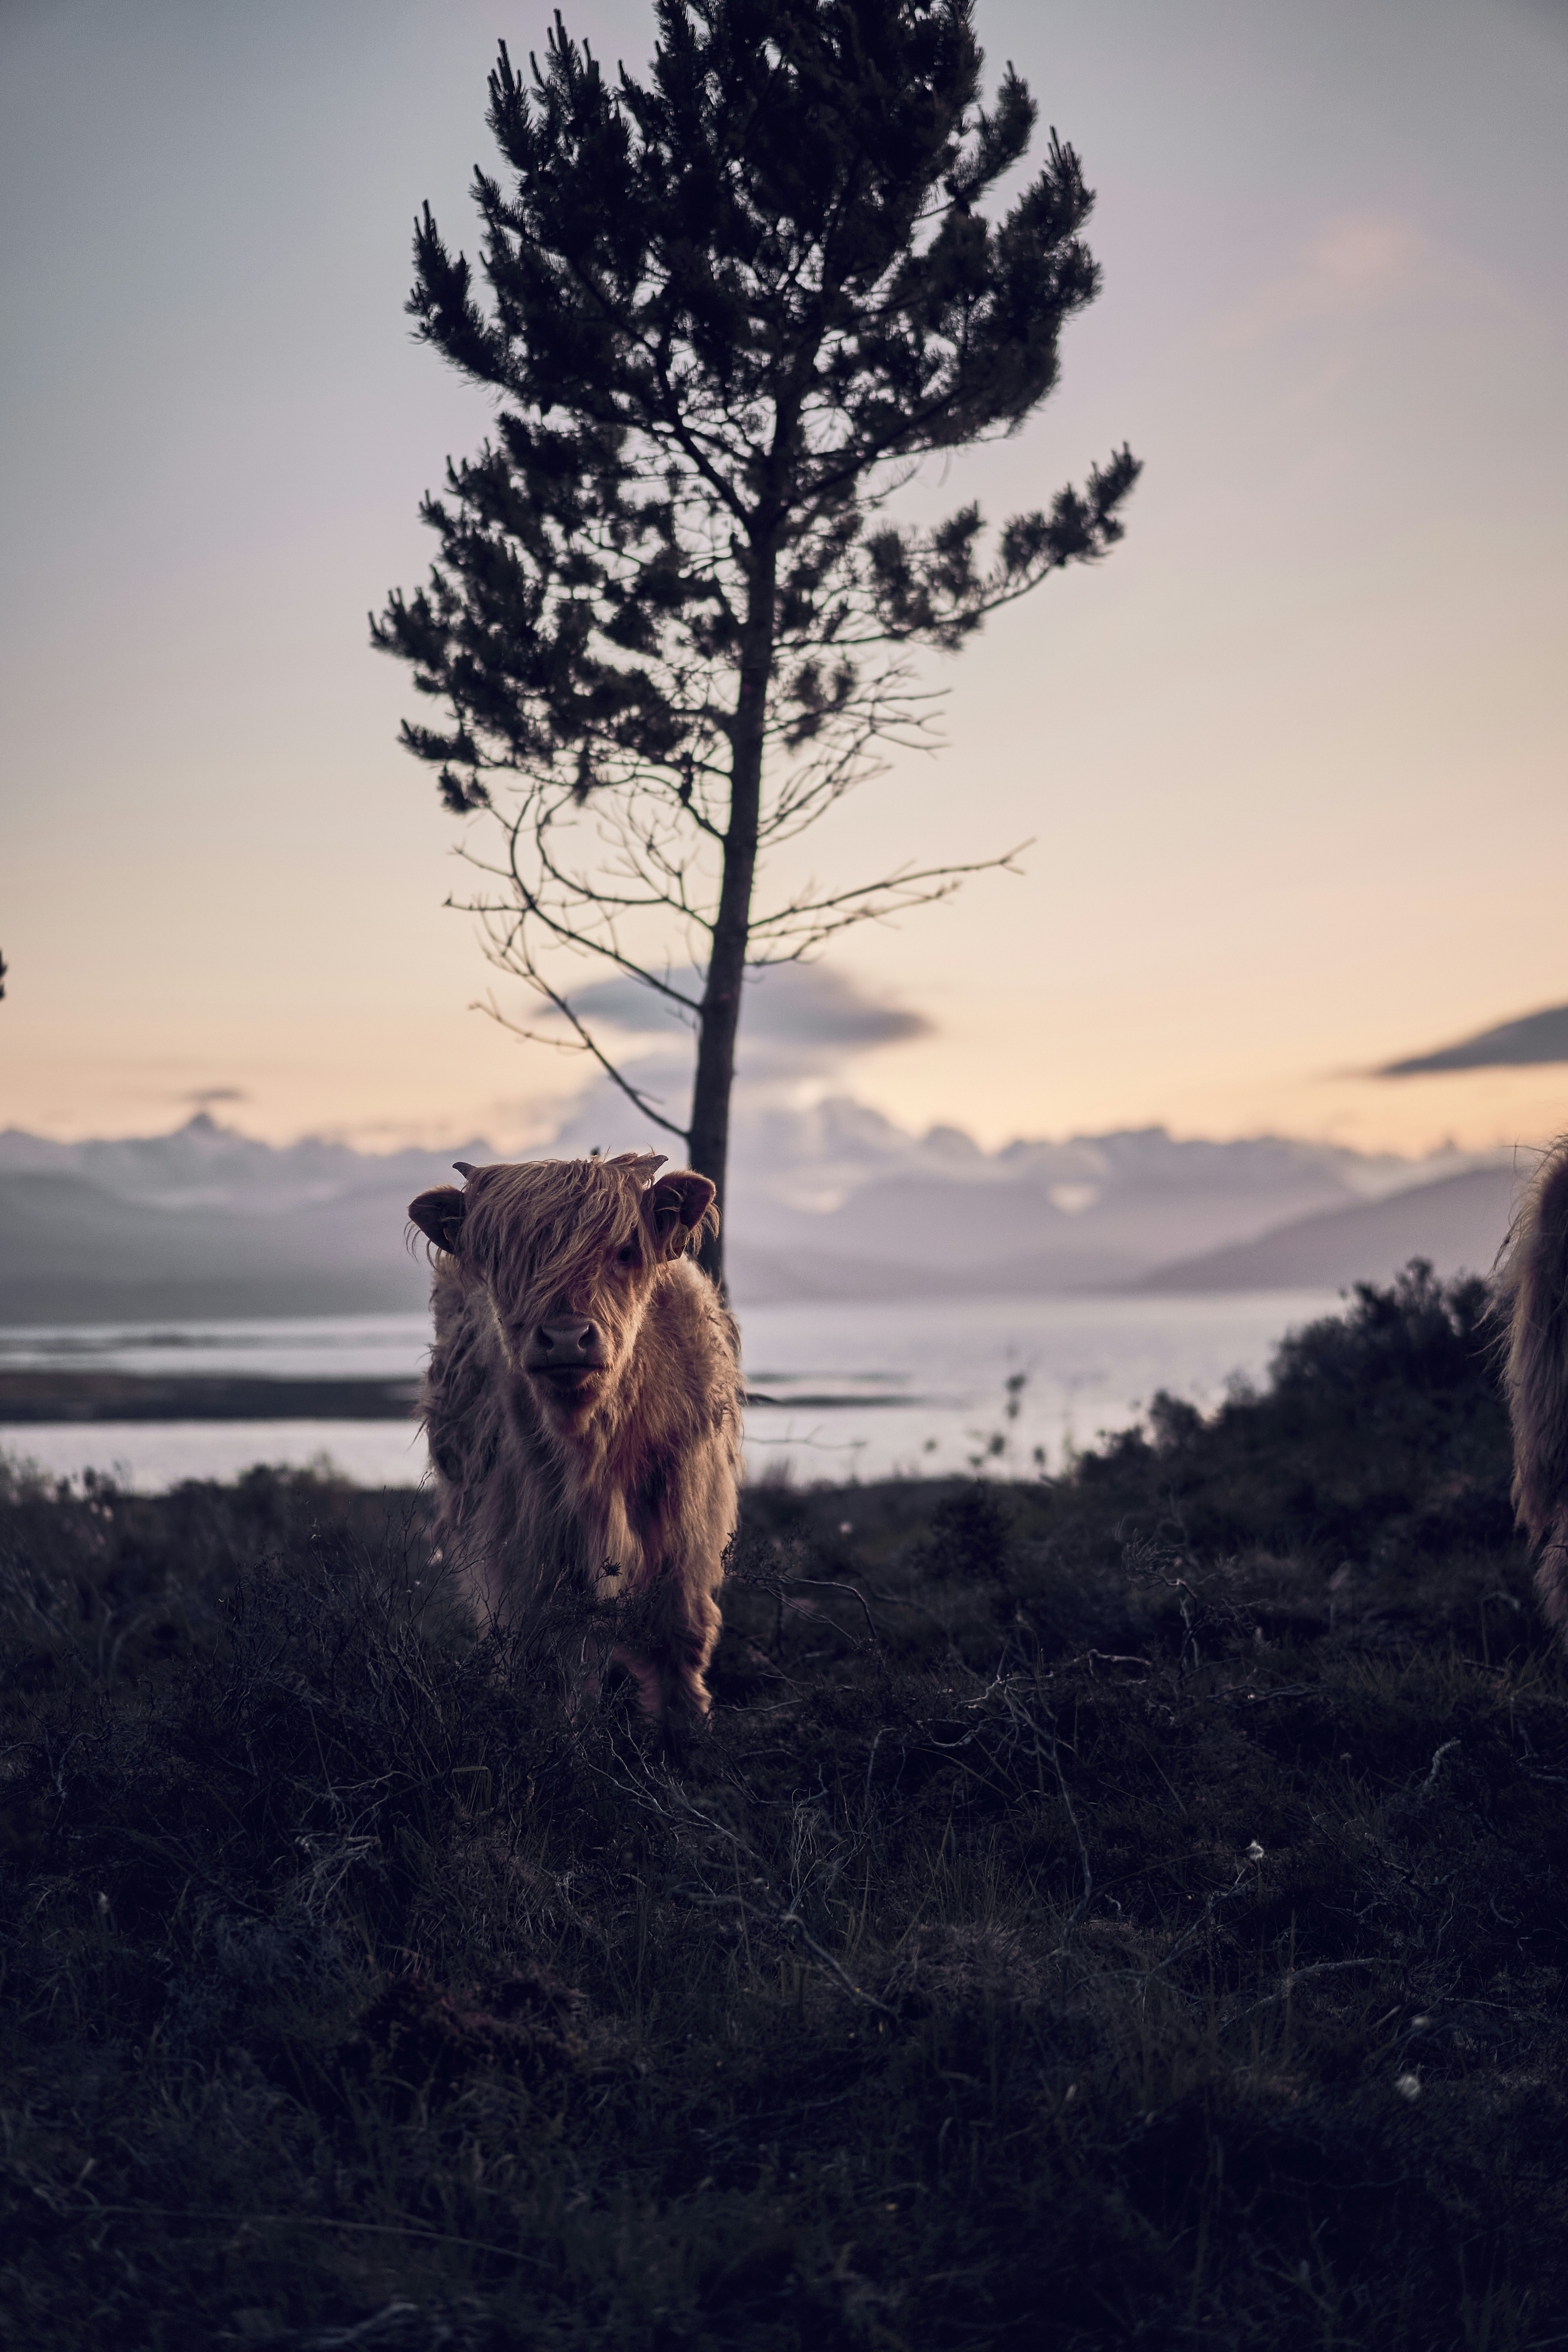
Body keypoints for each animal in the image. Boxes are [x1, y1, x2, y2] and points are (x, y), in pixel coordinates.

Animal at [407, 1151, 743, 1727]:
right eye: (505, 1257)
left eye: (625, 1252)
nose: (566, 1337)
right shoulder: (534, 1542)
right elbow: (559, 1653)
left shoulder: (687, 1527)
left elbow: (681, 1638)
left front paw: (685, 1731)